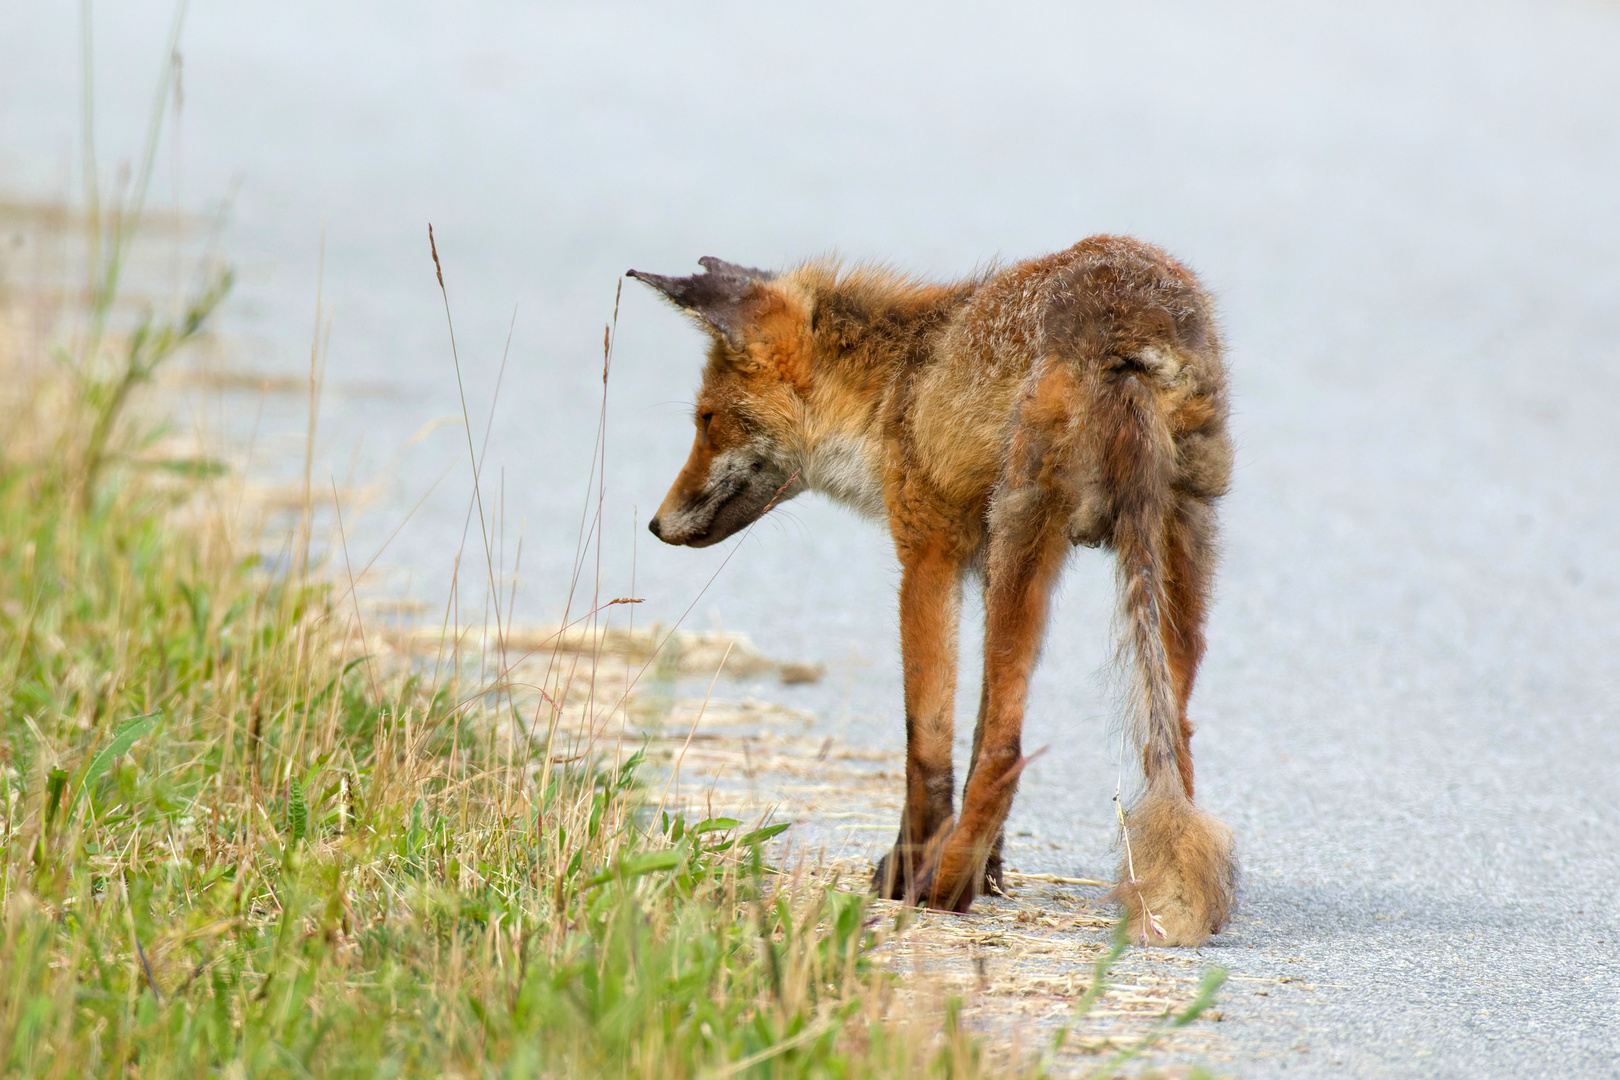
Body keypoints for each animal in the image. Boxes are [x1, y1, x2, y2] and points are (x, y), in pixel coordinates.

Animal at [625, 238, 1231, 945]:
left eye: (707, 420)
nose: (655, 523)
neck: (897, 388)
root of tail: (1132, 331)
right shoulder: (984, 563)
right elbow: (967, 737)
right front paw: (979, 874)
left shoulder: (929, 551)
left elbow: (928, 751)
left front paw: (917, 876)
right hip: (1172, 547)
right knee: (1176, 743)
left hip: (1029, 539)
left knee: (1004, 754)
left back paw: (941, 893)